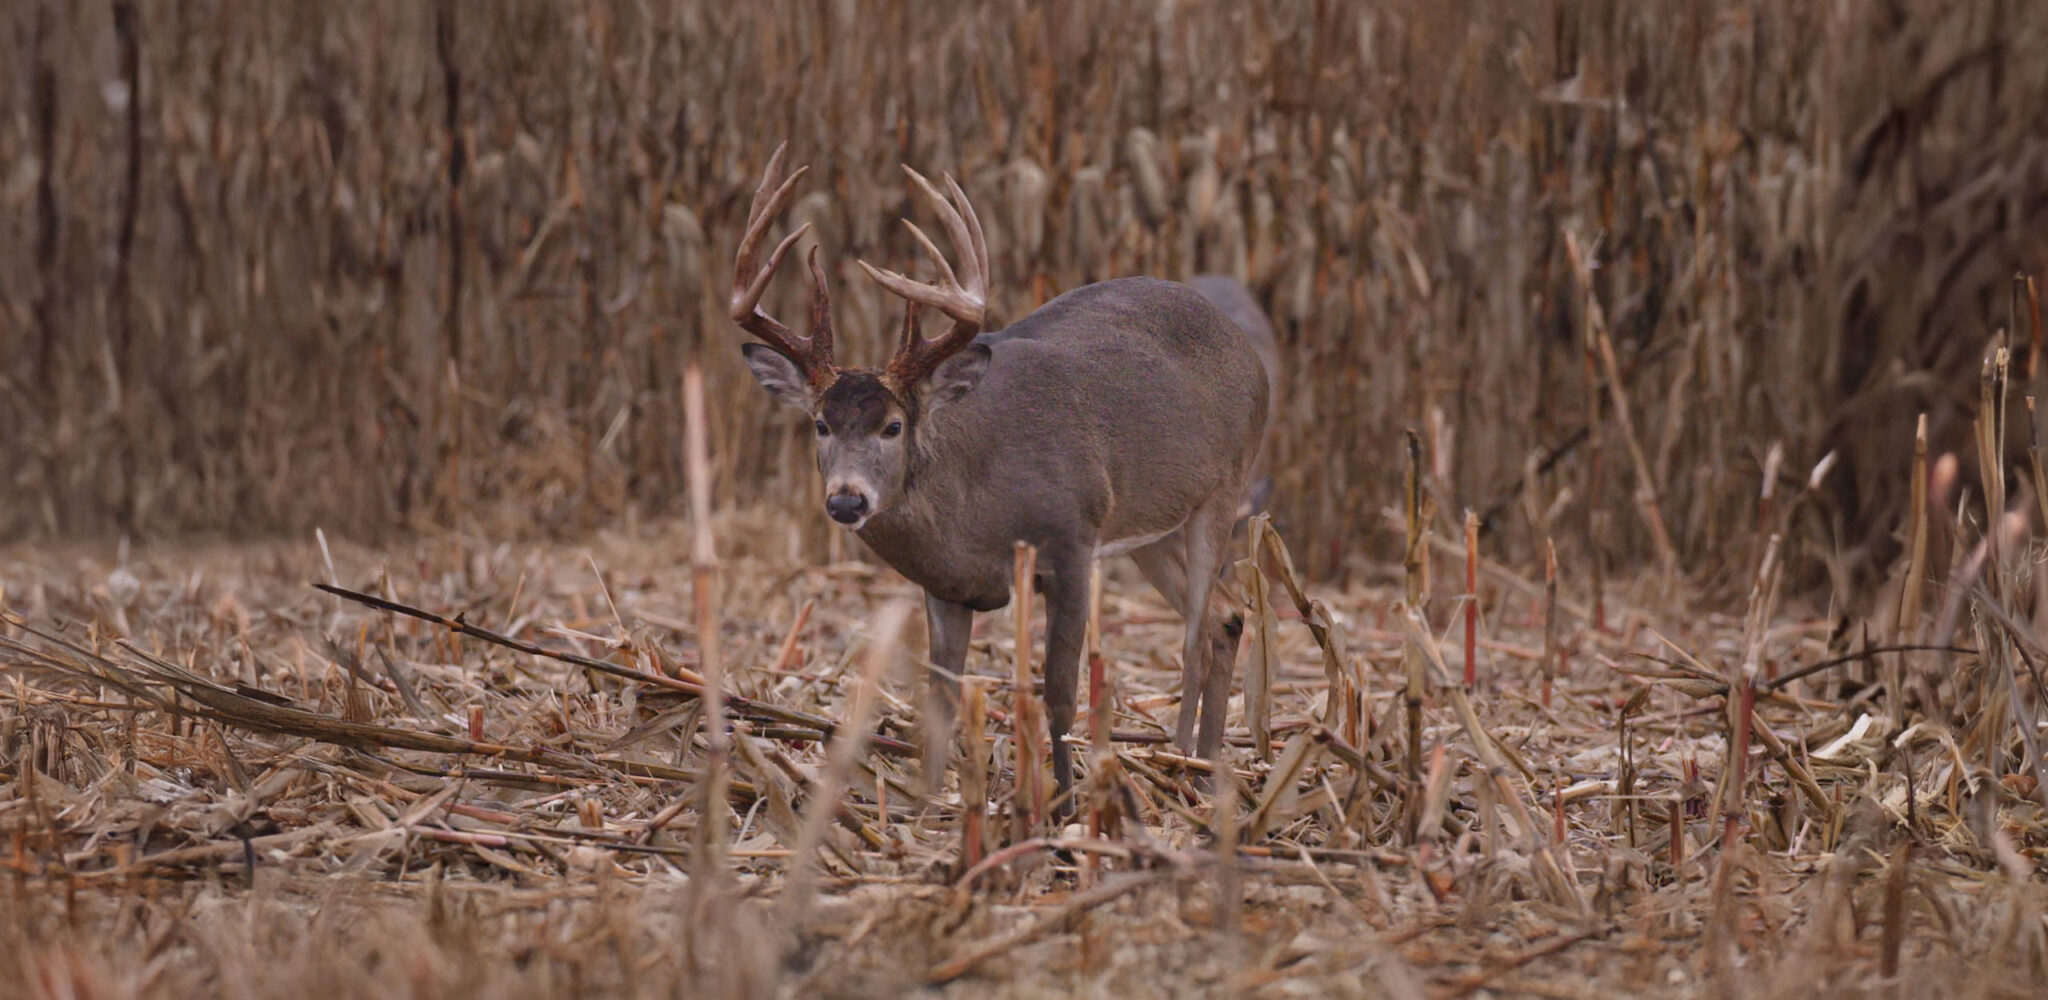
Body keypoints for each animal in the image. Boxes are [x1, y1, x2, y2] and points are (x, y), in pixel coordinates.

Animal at [728, 144, 1269, 809]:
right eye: (820, 425)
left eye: (892, 426)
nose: (847, 501)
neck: (974, 506)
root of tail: (1245, 346)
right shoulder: (945, 584)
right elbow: (940, 698)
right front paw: (931, 801)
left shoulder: (1070, 540)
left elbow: (1058, 691)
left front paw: (1064, 804)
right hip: (1153, 526)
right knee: (1226, 615)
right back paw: (1209, 764)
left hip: (1223, 488)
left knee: (1197, 632)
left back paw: (1183, 762)